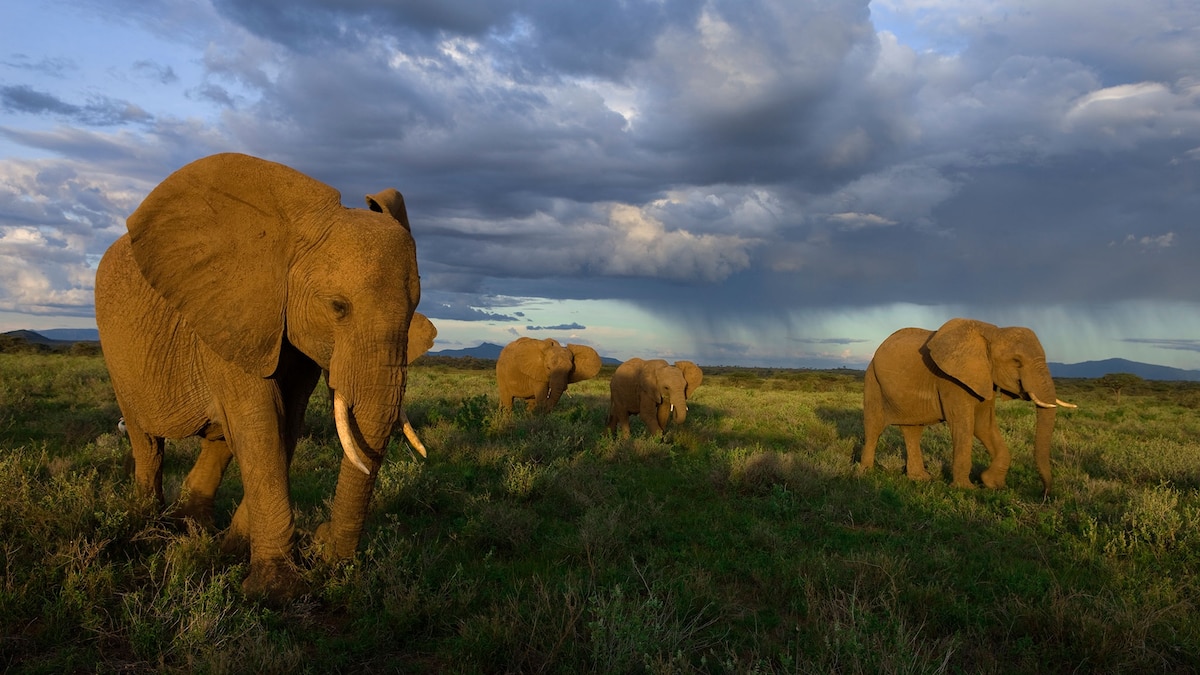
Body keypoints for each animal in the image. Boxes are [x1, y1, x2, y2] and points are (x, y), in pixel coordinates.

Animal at [95, 152, 422, 601]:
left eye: (414, 311)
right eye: (338, 307)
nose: (322, 544)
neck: (290, 238)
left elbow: (285, 425)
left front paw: (238, 556)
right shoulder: (231, 312)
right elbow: (261, 422)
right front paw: (274, 591)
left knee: (219, 441)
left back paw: (196, 531)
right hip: (117, 355)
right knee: (148, 442)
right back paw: (148, 526)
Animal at [859, 318, 1076, 497]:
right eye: (1017, 361)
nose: (1044, 494)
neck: (993, 332)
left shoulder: (986, 377)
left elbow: (983, 425)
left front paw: (992, 483)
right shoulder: (951, 380)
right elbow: (963, 424)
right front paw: (966, 489)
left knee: (912, 430)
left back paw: (920, 478)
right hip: (872, 381)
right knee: (874, 426)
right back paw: (865, 474)